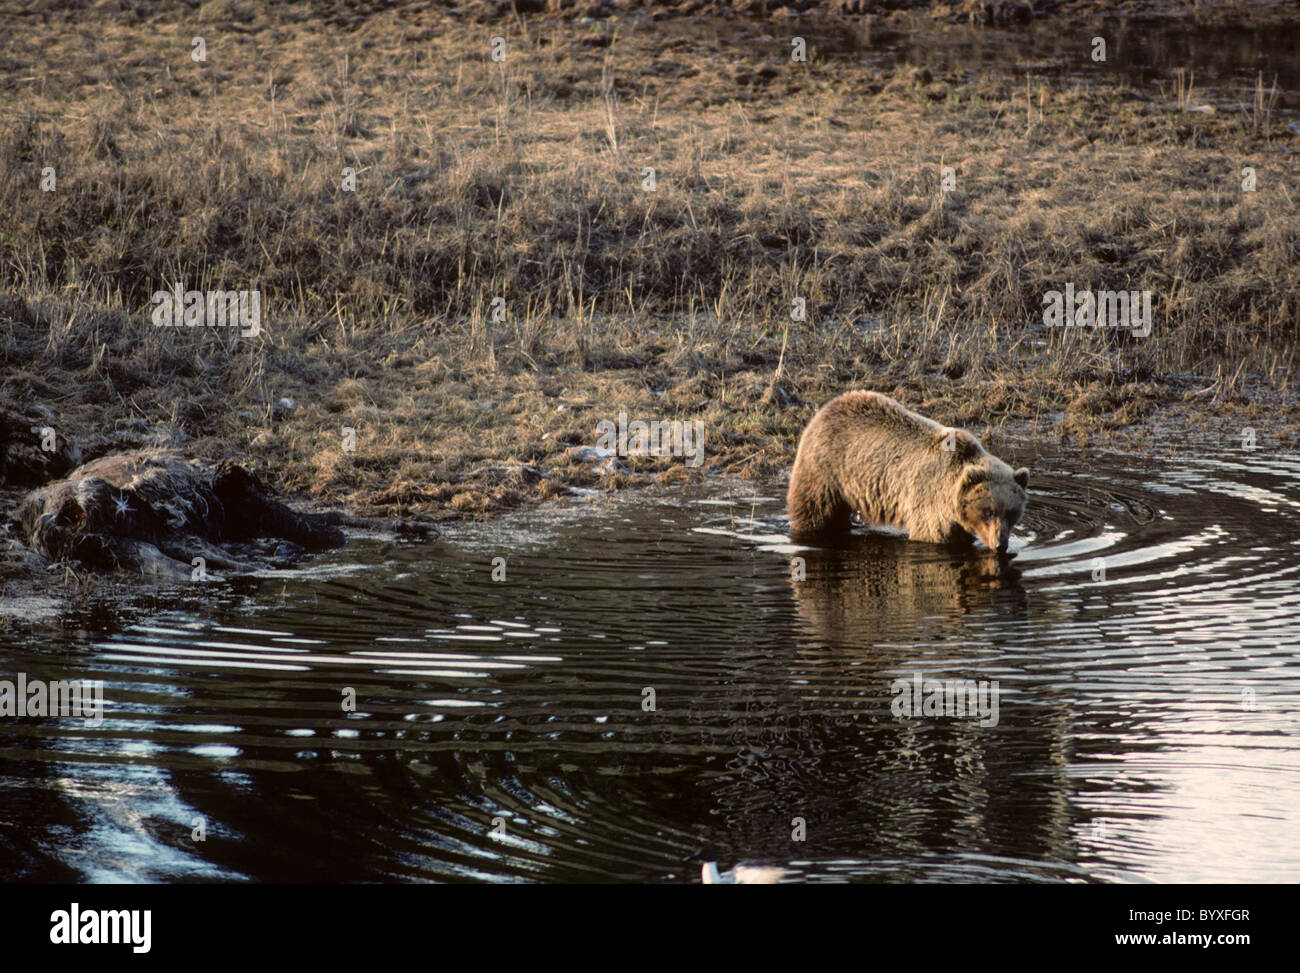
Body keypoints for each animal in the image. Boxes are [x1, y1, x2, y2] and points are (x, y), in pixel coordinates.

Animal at [786, 391, 1028, 553]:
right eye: (987, 511)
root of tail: (826, 408)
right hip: (825, 471)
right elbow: (932, 535)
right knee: (814, 510)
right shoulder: (931, 505)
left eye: (1011, 512)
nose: (1000, 545)